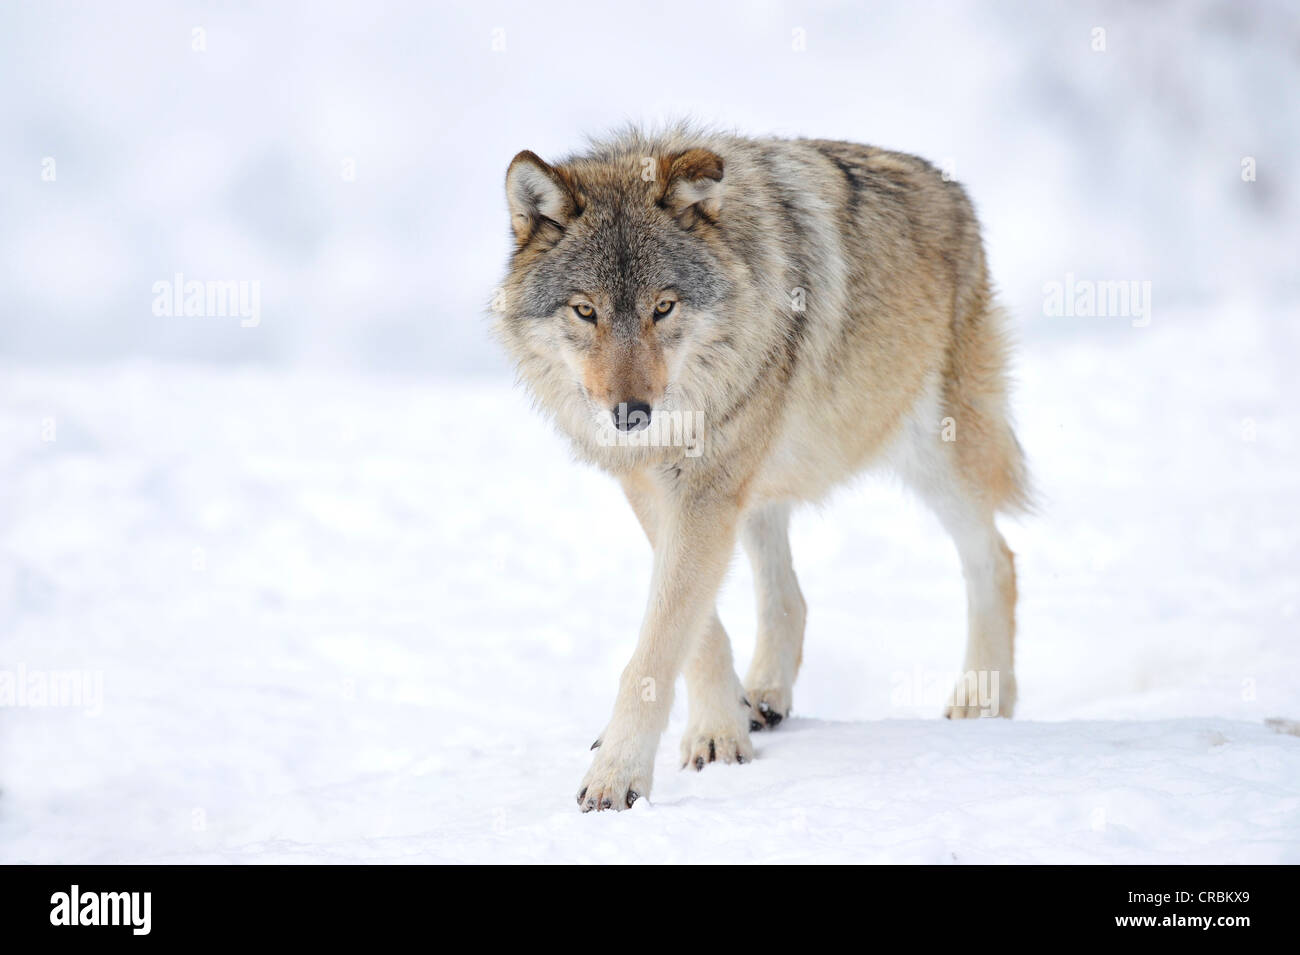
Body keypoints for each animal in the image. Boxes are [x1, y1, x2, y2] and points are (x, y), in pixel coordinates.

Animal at [495, 125, 1029, 812]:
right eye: (585, 311)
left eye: (664, 308)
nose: (631, 416)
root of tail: (952, 189)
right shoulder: (656, 487)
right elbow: (695, 632)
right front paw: (718, 731)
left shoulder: (706, 494)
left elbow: (656, 648)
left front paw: (618, 776)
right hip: (763, 490)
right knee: (790, 598)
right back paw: (765, 699)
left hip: (934, 454)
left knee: (996, 559)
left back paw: (982, 699)